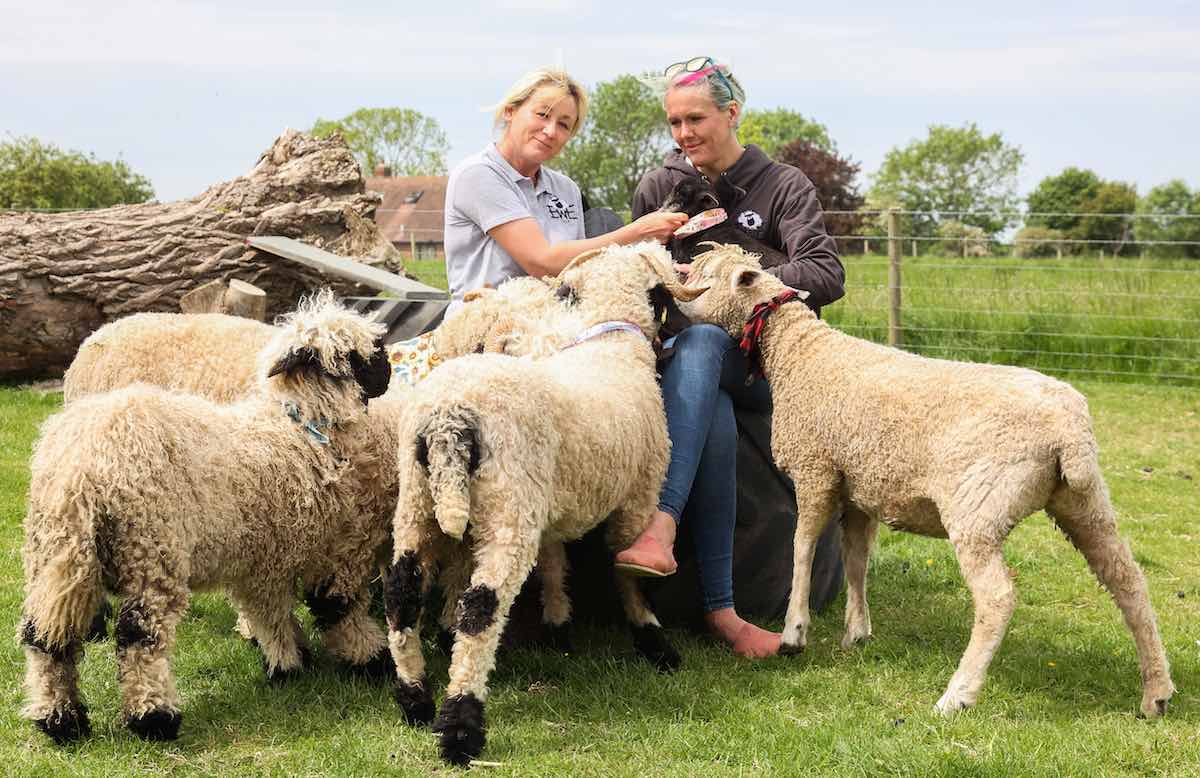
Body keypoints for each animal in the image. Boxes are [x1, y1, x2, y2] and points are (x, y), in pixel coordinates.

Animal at [19, 292, 397, 744]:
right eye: (361, 355)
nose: (389, 373)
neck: (301, 426)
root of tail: (79, 468)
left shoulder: (265, 556)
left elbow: (268, 612)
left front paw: (287, 662)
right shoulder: (333, 549)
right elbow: (337, 607)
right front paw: (369, 657)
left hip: (59, 552)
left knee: (45, 636)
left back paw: (60, 719)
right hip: (150, 551)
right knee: (139, 636)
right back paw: (153, 716)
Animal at [384, 242, 703, 765]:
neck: (613, 345)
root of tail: (449, 419)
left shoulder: (552, 509)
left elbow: (555, 567)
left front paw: (558, 629)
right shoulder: (638, 499)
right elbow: (628, 574)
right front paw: (653, 640)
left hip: (416, 506)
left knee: (401, 596)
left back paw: (415, 702)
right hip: (507, 512)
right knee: (480, 609)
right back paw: (459, 730)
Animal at [676, 244, 1175, 718]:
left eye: (707, 274)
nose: (674, 283)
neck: (799, 354)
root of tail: (1070, 431)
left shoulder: (817, 469)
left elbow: (803, 546)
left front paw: (794, 631)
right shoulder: (861, 487)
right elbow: (856, 559)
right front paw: (857, 633)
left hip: (979, 508)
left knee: (997, 599)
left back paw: (958, 695)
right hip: (1083, 501)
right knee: (1128, 581)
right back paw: (1156, 692)